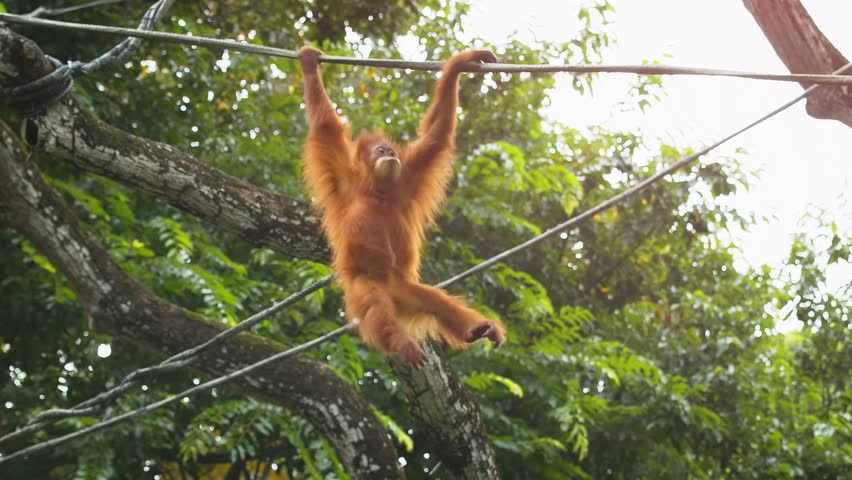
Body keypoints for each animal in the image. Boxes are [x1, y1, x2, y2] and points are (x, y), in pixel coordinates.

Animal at [298, 46, 505, 367]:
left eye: (392, 151)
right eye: (381, 150)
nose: (392, 155)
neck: (379, 192)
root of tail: (392, 291)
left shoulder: (408, 179)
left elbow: (435, 137)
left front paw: (460, 64)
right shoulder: (342, 179)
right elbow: (325, 126)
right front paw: (309, 63)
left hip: (408, 291)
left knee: (436, 302)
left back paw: (477, 329)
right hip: (364, 285)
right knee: (376, 307)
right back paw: (401, 342)